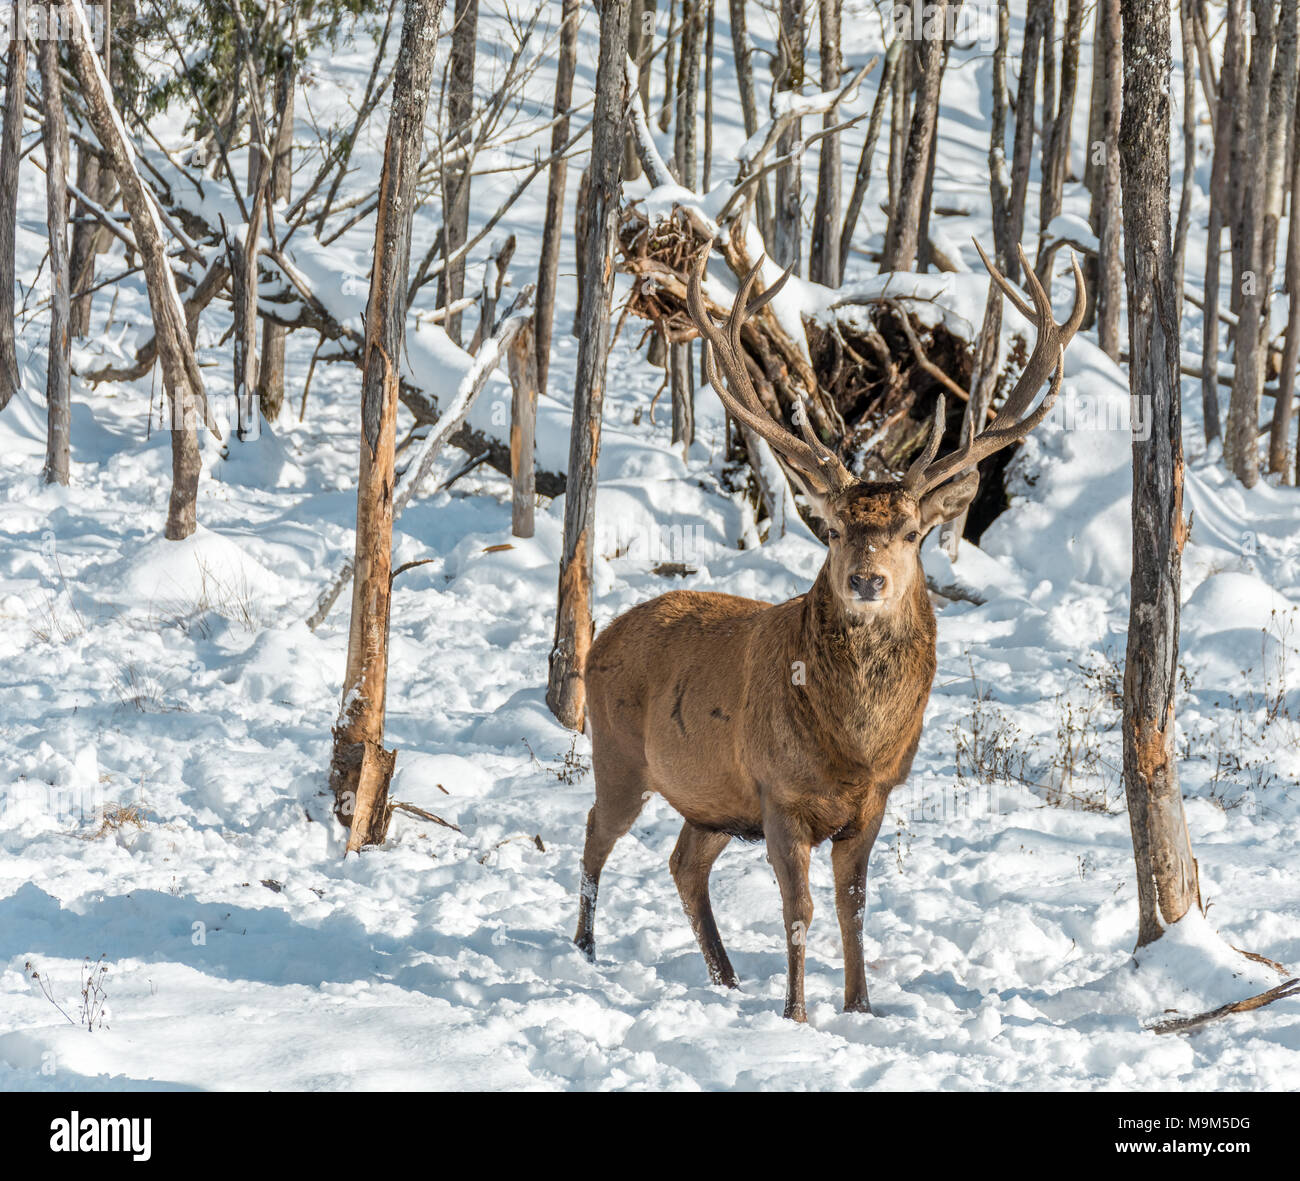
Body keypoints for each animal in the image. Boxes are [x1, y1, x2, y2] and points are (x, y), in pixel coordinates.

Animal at [575, 240, 1085, 1021]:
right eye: (838, 528)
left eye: (910, 532)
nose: (866, 580)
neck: (855, 746)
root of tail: (599, 638)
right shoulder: (779, 792)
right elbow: (800, 909)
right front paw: (797, 1014)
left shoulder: (872, 800)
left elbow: (854, 904)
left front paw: (861, 1005)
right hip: (620, 754)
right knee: (595, 836)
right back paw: (585, 949)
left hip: (714, 800)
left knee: (683, 862)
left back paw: (726, 977)